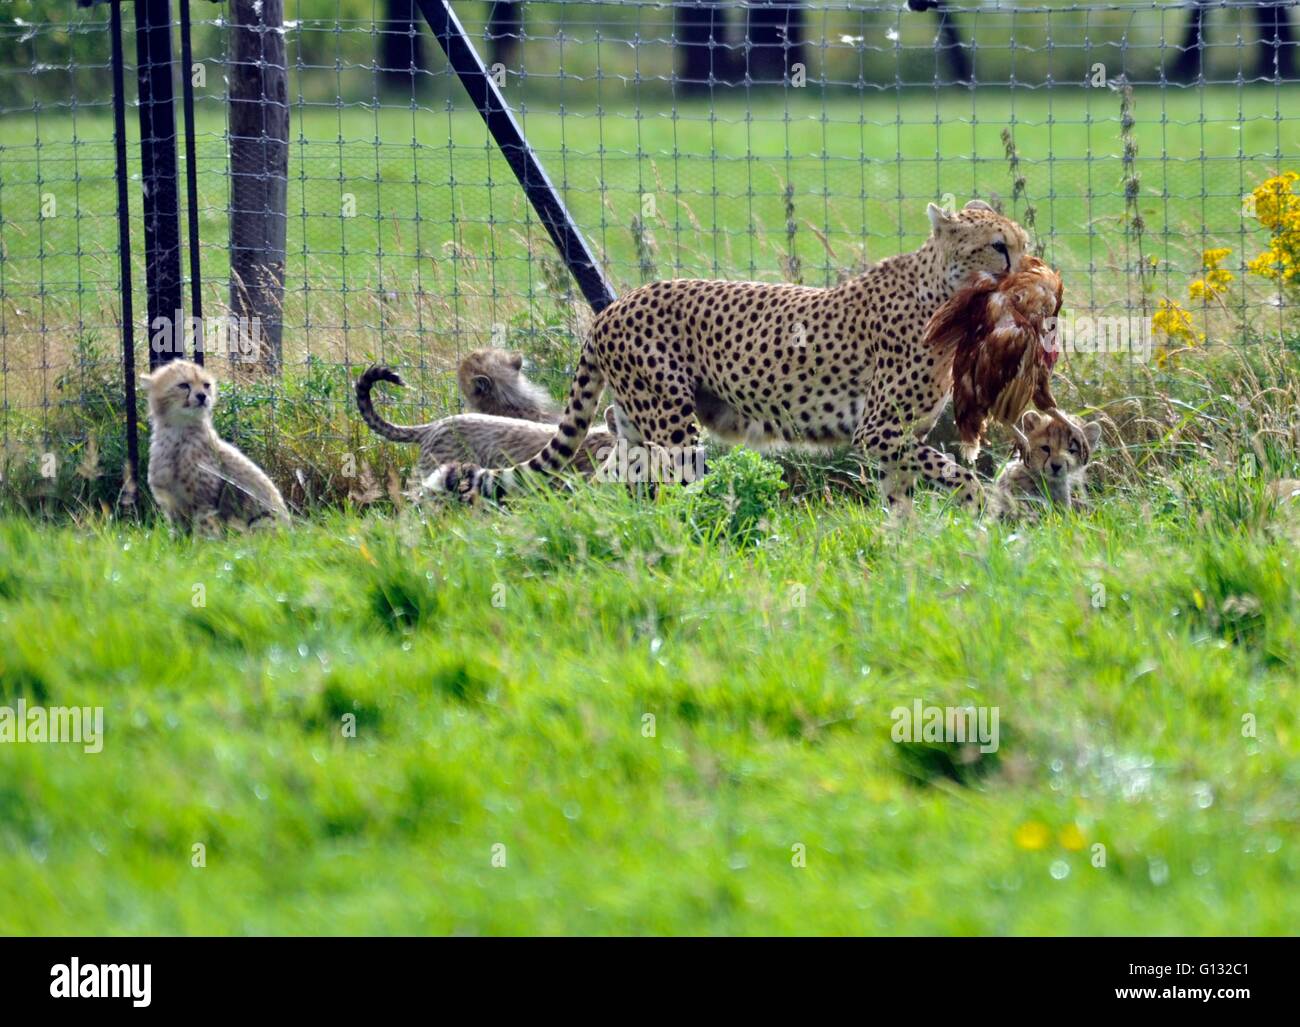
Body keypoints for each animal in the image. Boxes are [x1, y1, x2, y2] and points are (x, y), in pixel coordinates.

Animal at [426, 200, 1031, 513]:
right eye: (999, 246)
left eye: (1022, 243)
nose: (1030, 267)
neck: (945, 294)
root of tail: (614, 307)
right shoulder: (878, 431)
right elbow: (956, 473)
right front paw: (985, 513)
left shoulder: (894, 438)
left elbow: (899, 496)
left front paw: (903, 549)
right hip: (673, 426)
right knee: (677, 489)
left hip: (638, 426)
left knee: (608, 478)